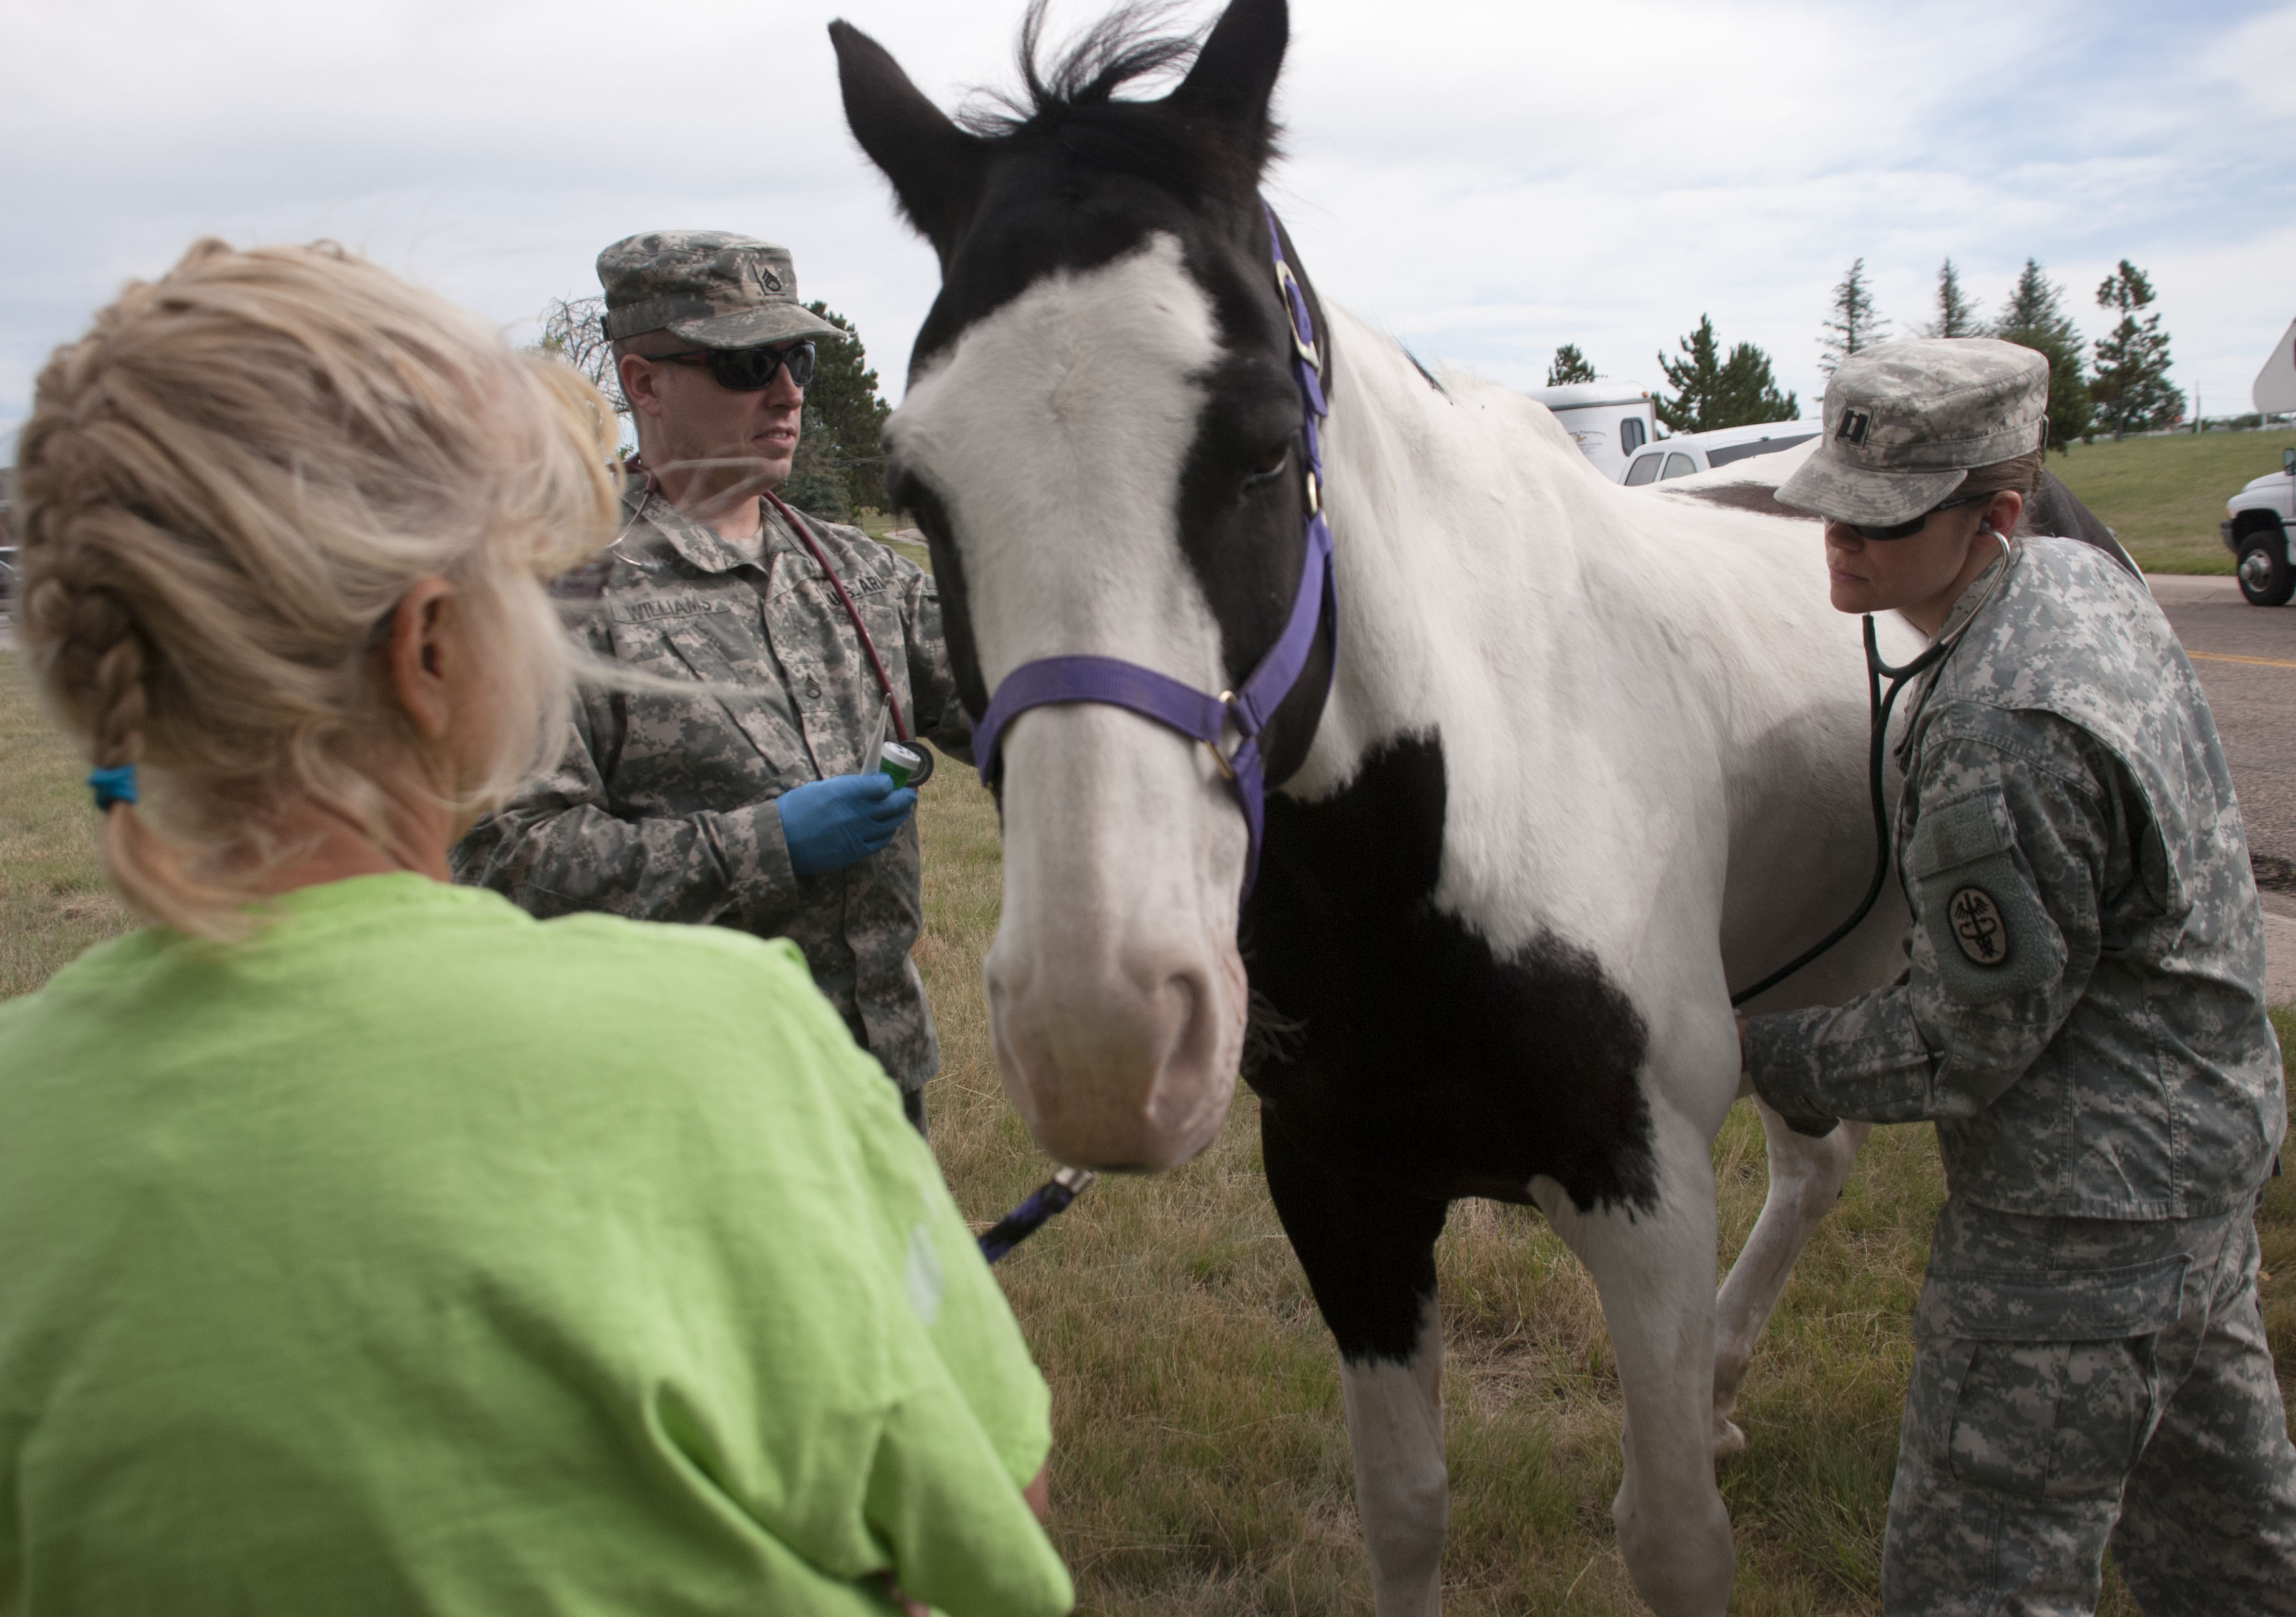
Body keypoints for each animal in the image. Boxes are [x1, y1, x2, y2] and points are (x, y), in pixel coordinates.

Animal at [832, 4, 1918, 1609]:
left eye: (1263, 445)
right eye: (915, 487)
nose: (1100, 1032)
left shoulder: (1645, 1194)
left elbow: (1670, 1539)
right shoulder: (1342, 1194)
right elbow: (1402, 1507)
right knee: (1820, 1162)